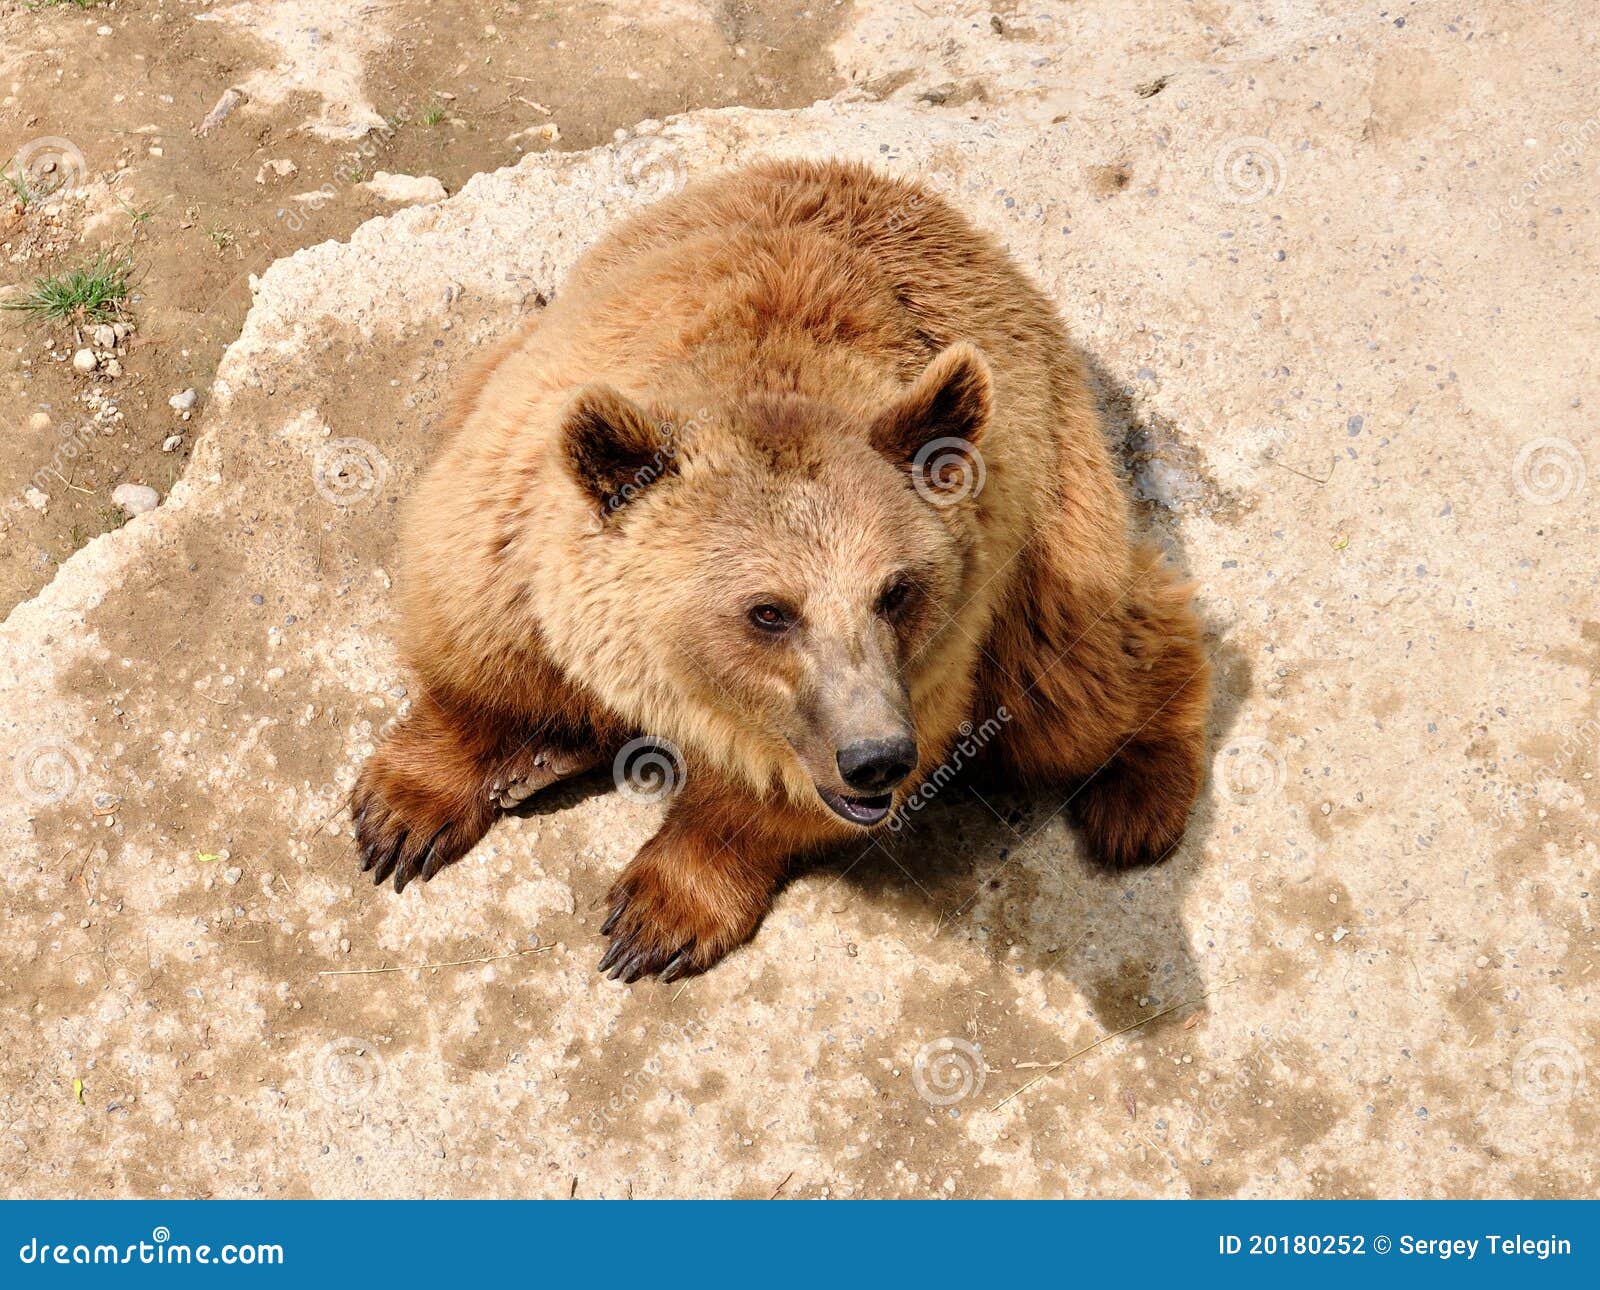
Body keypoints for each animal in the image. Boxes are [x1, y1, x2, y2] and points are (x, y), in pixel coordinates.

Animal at [352, 158, 1209, 984]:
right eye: (769, 610)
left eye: (897, 592)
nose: (875, 758)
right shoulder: (516, 506)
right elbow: (476, 648)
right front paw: (402, 811)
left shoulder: (942, 658)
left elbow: (763, 803)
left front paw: (659, 915)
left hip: (1047, 519)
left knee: (1081, 683)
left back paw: (1138, 801)